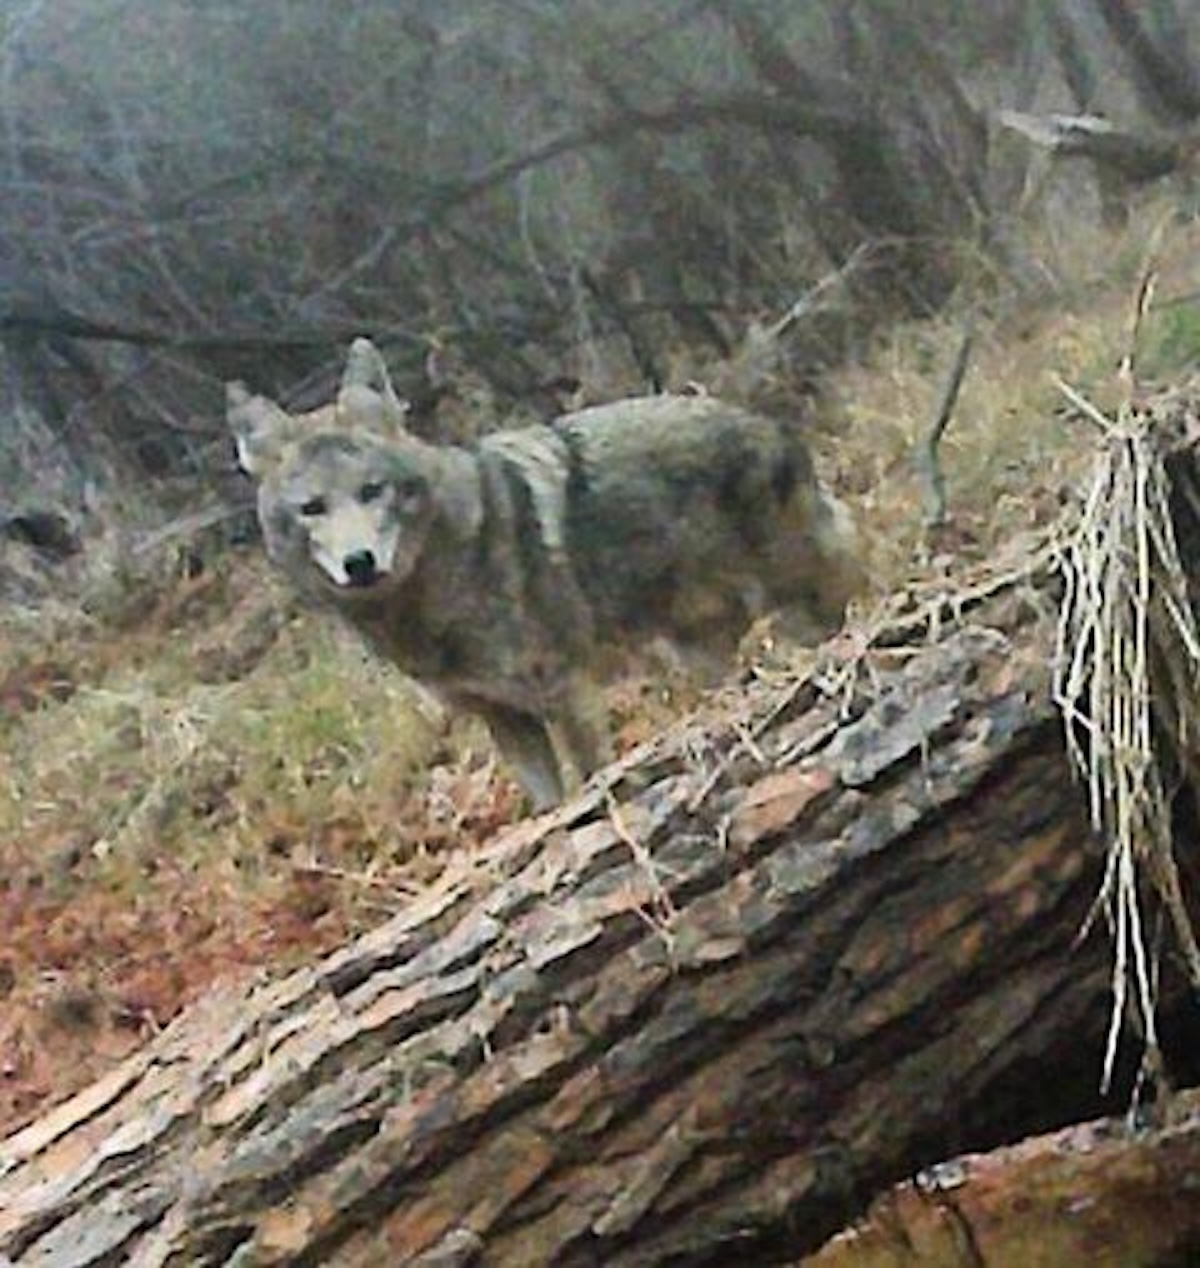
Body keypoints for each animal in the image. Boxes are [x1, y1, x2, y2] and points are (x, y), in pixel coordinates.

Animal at [227, 338, 863, 806]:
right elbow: (549, 807)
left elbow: (590, 780)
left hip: (811, 604)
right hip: (701, 654)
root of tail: (764, 423)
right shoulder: (505, 719)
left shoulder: (567, 691)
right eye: (312, 508)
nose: (359, 563)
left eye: (371, 490)